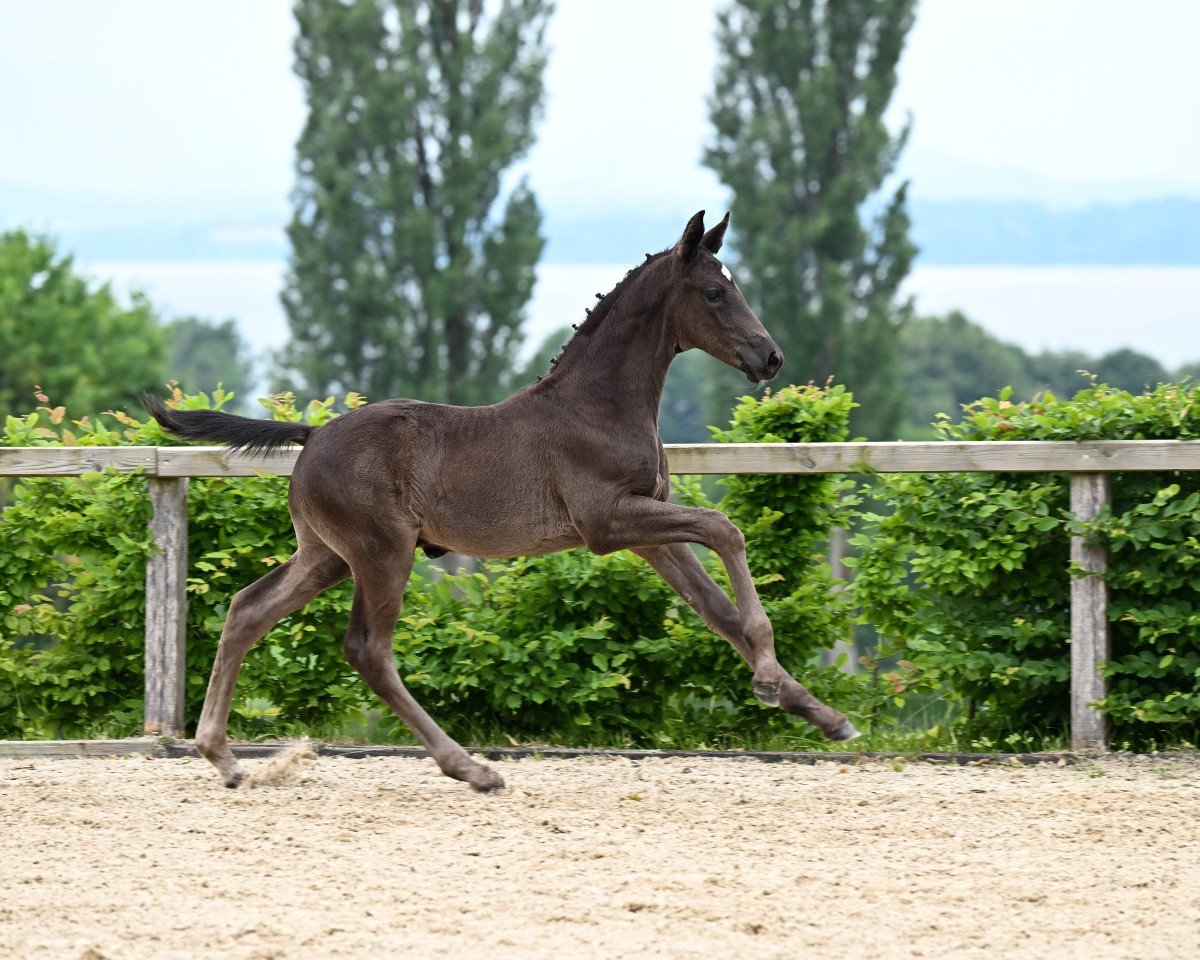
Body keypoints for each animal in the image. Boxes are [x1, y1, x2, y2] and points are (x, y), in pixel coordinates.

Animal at [145, 210, 859, 792]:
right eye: (715, 292)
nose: (770, 357)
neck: (598, 406)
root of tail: (314, 433)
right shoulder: (607, 522)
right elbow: (724, 529)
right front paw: (768, 680)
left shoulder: (649, 534)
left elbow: (718, 610)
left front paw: (822, 714)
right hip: (382, 552)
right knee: (369, 650)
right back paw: (471, 768)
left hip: (326, 555)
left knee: (247, 610)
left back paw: (223, 757)